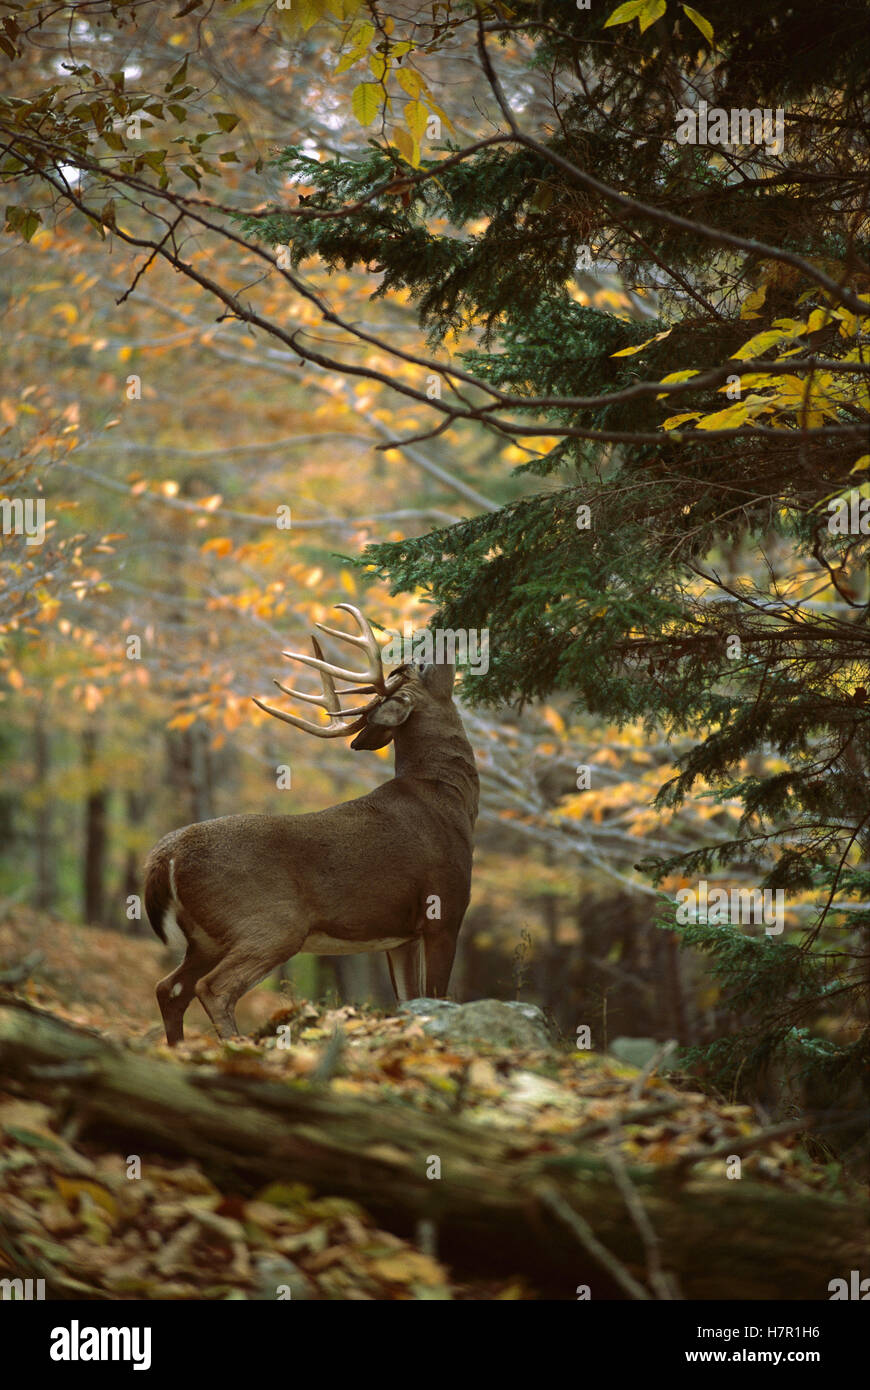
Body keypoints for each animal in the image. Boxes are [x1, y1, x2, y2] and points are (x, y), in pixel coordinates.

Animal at [144, 605, 479, 1044]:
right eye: (419, 665)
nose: (440, 632)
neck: (450, 801)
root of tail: (166, 855)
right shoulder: (443, 910)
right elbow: (437, 996)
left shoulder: (399, 935)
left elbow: (408, 1001)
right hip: (271, 923)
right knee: (212, 988)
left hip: (205, 938)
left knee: (169, 987)